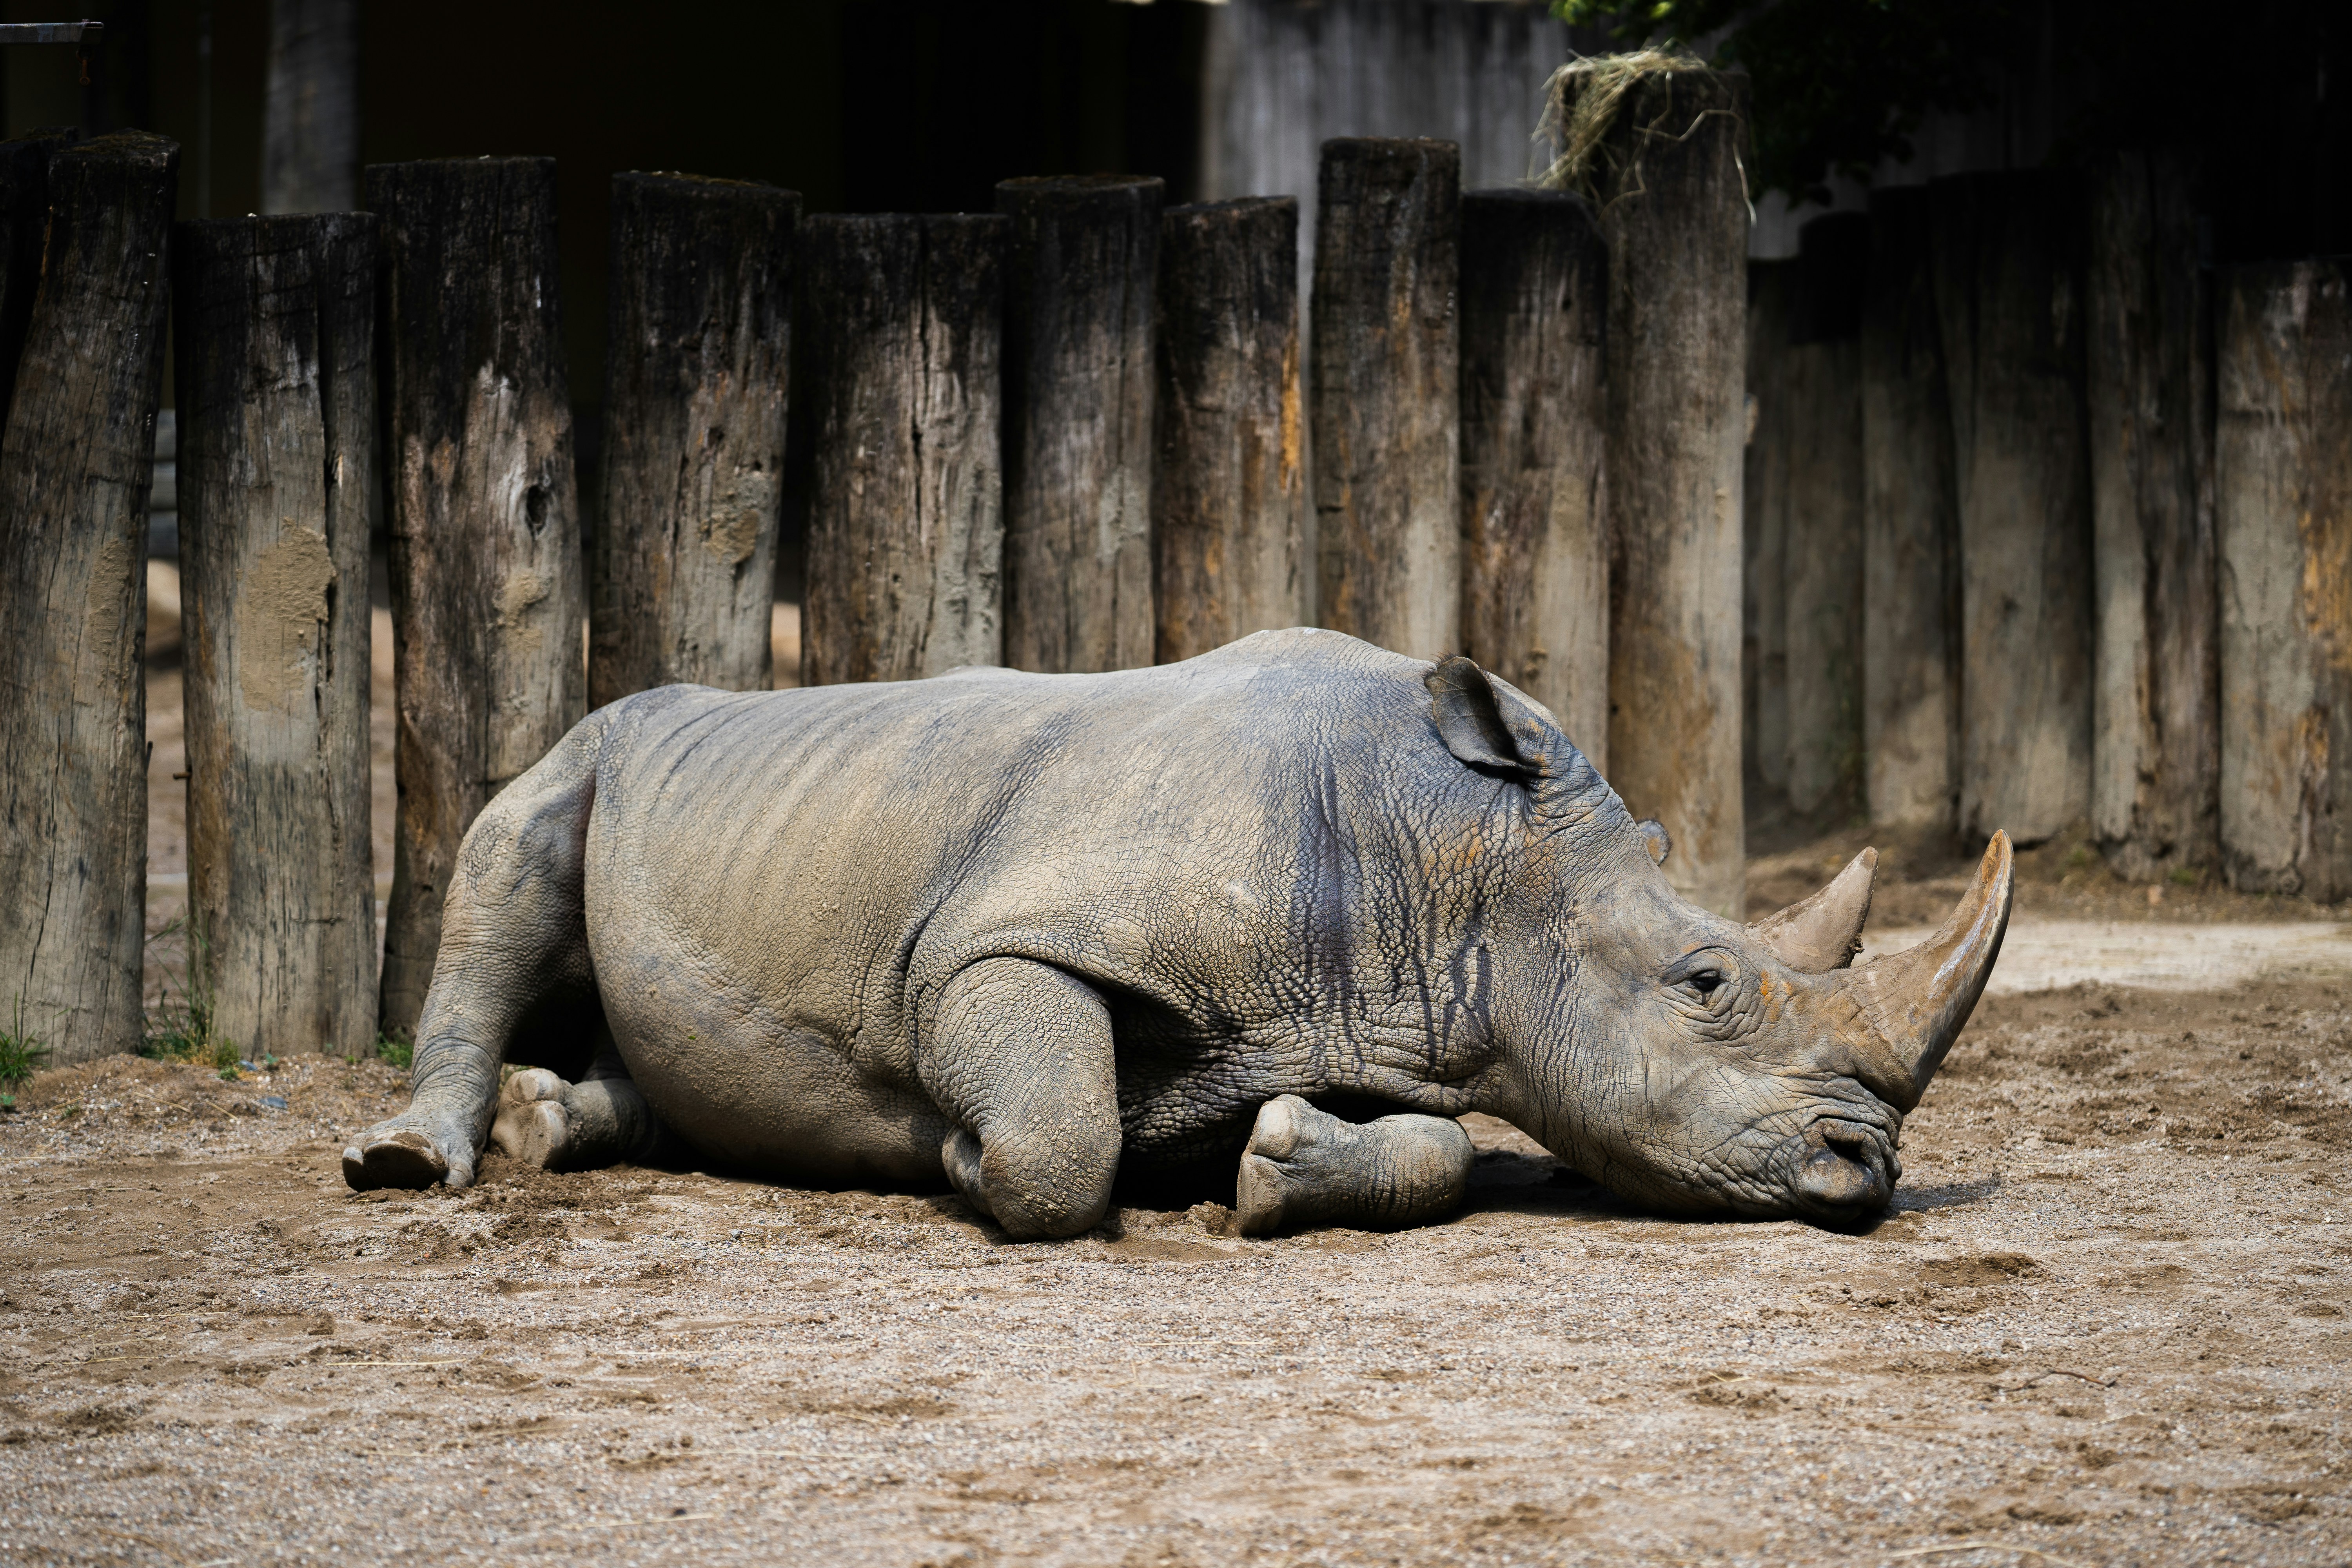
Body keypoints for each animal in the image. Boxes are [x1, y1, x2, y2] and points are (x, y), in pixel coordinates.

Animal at [343, 630, 2011, 1238]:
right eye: (1707, 982)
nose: (1866, 1169)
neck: (1459, 859)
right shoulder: (992, 946)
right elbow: (1056, 1138)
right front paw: (952, 1160)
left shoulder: (1367, 1014)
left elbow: (1436, 1147)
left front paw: (1266, 1171)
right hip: (596, 747)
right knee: (510, 856)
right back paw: (414, 1163)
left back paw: (555, 1124)